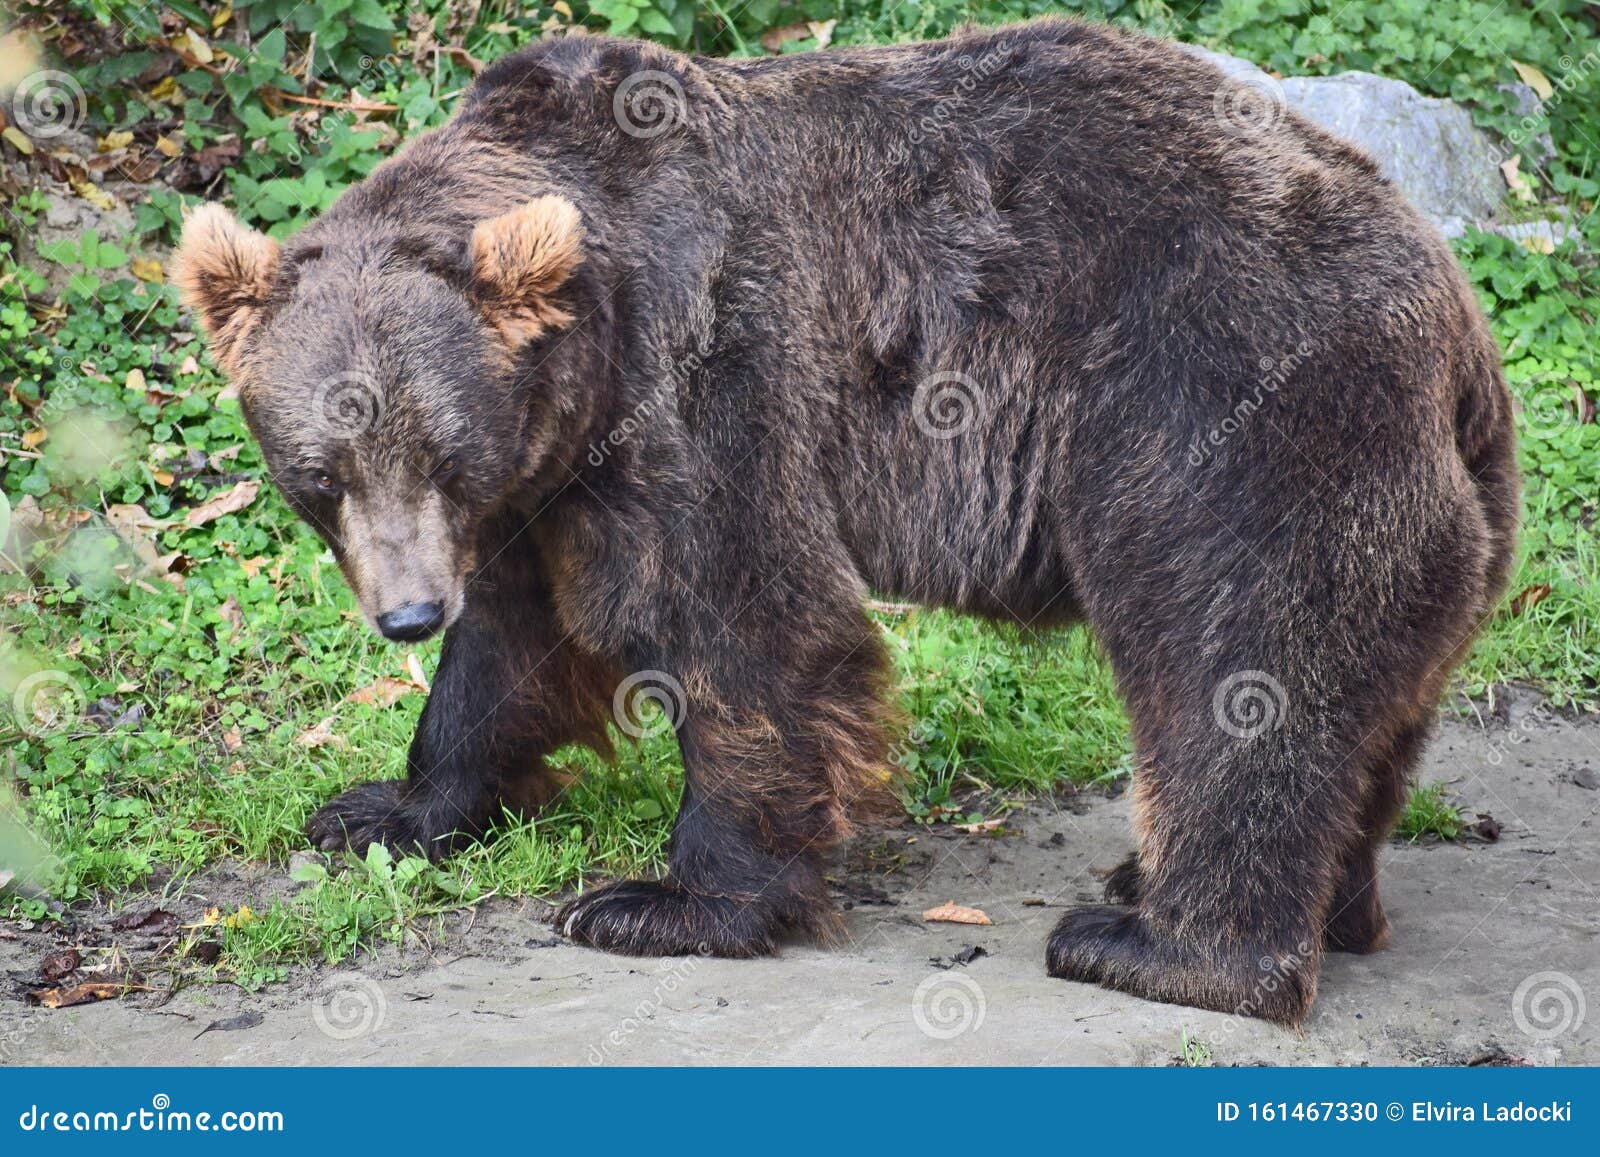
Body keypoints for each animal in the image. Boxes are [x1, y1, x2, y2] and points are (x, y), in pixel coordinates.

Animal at [173, 17, 1518, 1025]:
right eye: (320, 470)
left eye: (438, 452)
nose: (405, 610)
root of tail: (1452, 312)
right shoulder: (541, 482)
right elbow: (513, 642)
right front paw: (387, 806)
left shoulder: (705, 375)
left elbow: (748, 621)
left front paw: (668, 900)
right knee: (1366, 703)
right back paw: (1290, 900)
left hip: (1231, 412)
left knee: (1232, 660)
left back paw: (1155, 940)